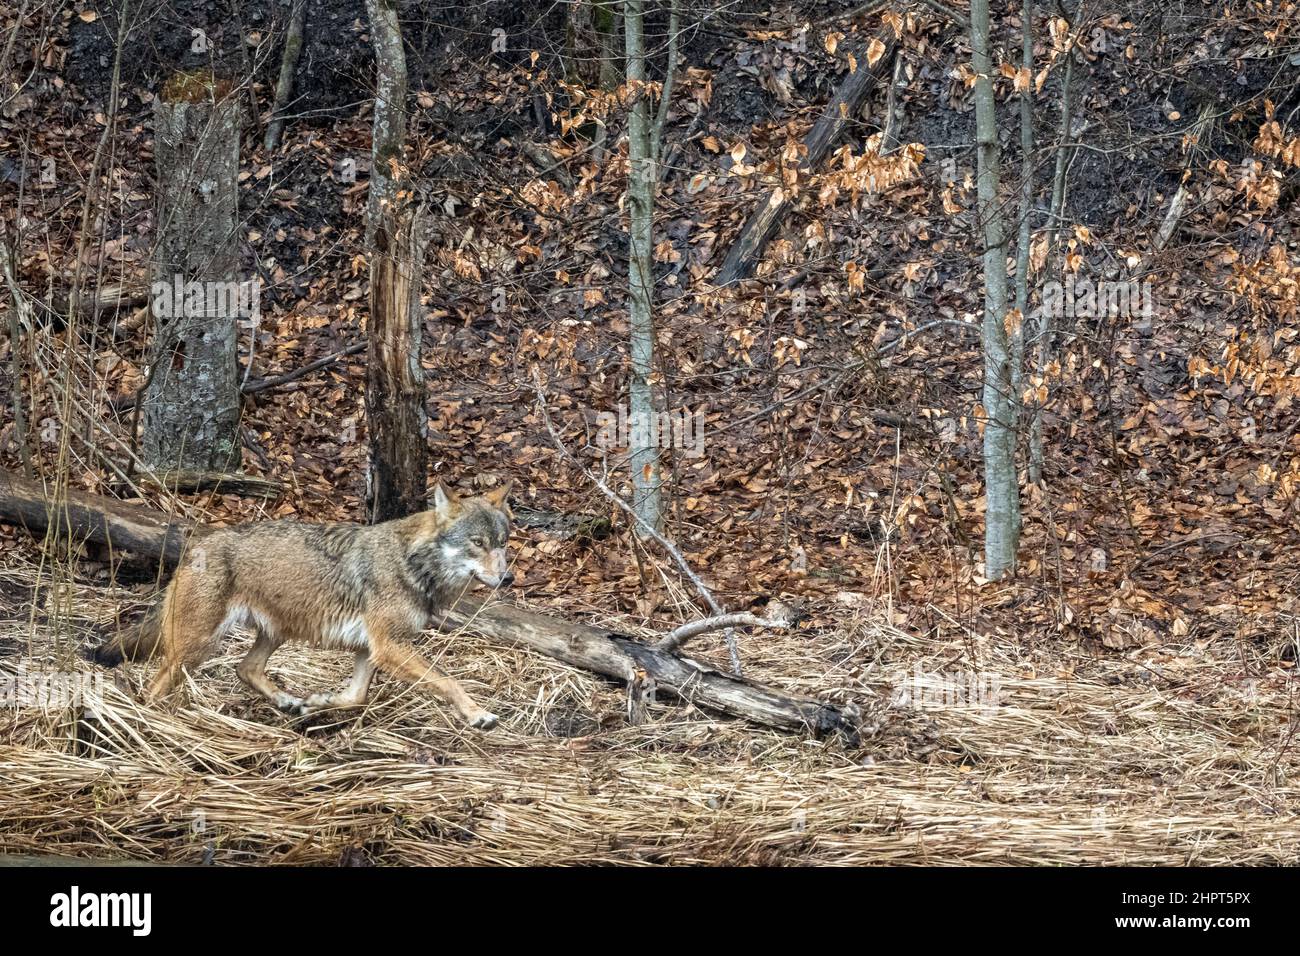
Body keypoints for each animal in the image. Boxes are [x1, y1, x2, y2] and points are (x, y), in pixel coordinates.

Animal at [90, 482, 513, 730]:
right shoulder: (389, 646)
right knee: (154, 688)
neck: (414, 564)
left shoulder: (370, 649)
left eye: (503, 543)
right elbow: (448, 681)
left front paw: (317, 703)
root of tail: (197, 545)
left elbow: (355, 697)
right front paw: (479, 714)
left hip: (273, 634)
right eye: (477, 543)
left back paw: (286, 700)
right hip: (196, 647)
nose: (508, 579)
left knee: (245, 669)